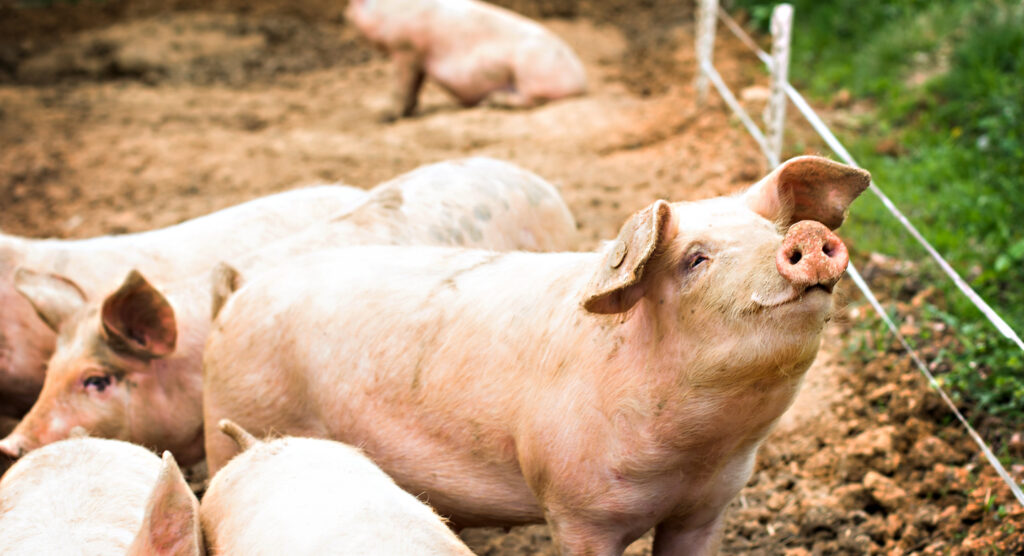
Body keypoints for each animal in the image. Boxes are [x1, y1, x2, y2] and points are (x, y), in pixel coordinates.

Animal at [346, 0, 587, 120]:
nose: (344, 14)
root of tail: (581, 80)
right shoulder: (419, 57)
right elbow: (414, 87)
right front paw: (410, 111)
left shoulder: (406, 47)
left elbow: (401, 85)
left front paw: (385, 116)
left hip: (531, 69)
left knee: (532, 100)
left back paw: (491, 101)